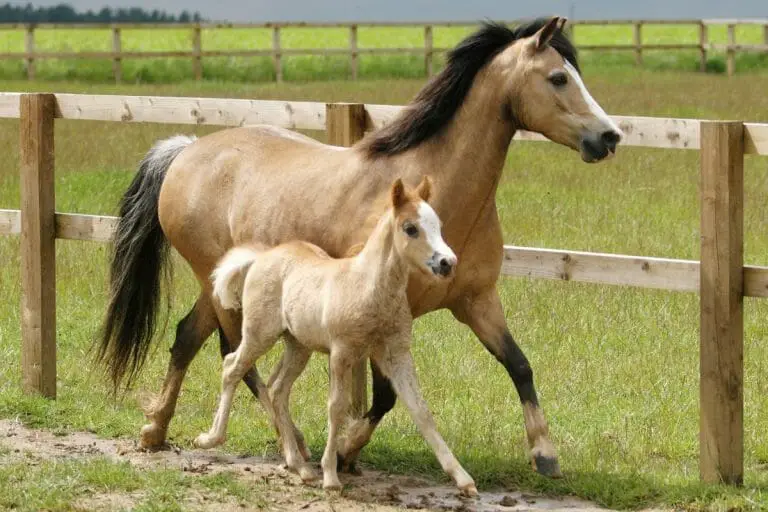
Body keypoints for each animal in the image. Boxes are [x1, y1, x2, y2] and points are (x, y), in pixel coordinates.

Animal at [193, 177, 477, 495]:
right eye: (411, 228)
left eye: (437, 224)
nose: (447, 263)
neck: (369, 289)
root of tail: (261, 257)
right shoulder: (342, 353)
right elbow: (337, 407)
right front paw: (331, 475)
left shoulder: (397, 353)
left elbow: (421, 411)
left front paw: (463, 479)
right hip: (259, 334)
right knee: (233, 366)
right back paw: (211, 438)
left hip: (298, 346)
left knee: (278, 390)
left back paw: (300, 466)